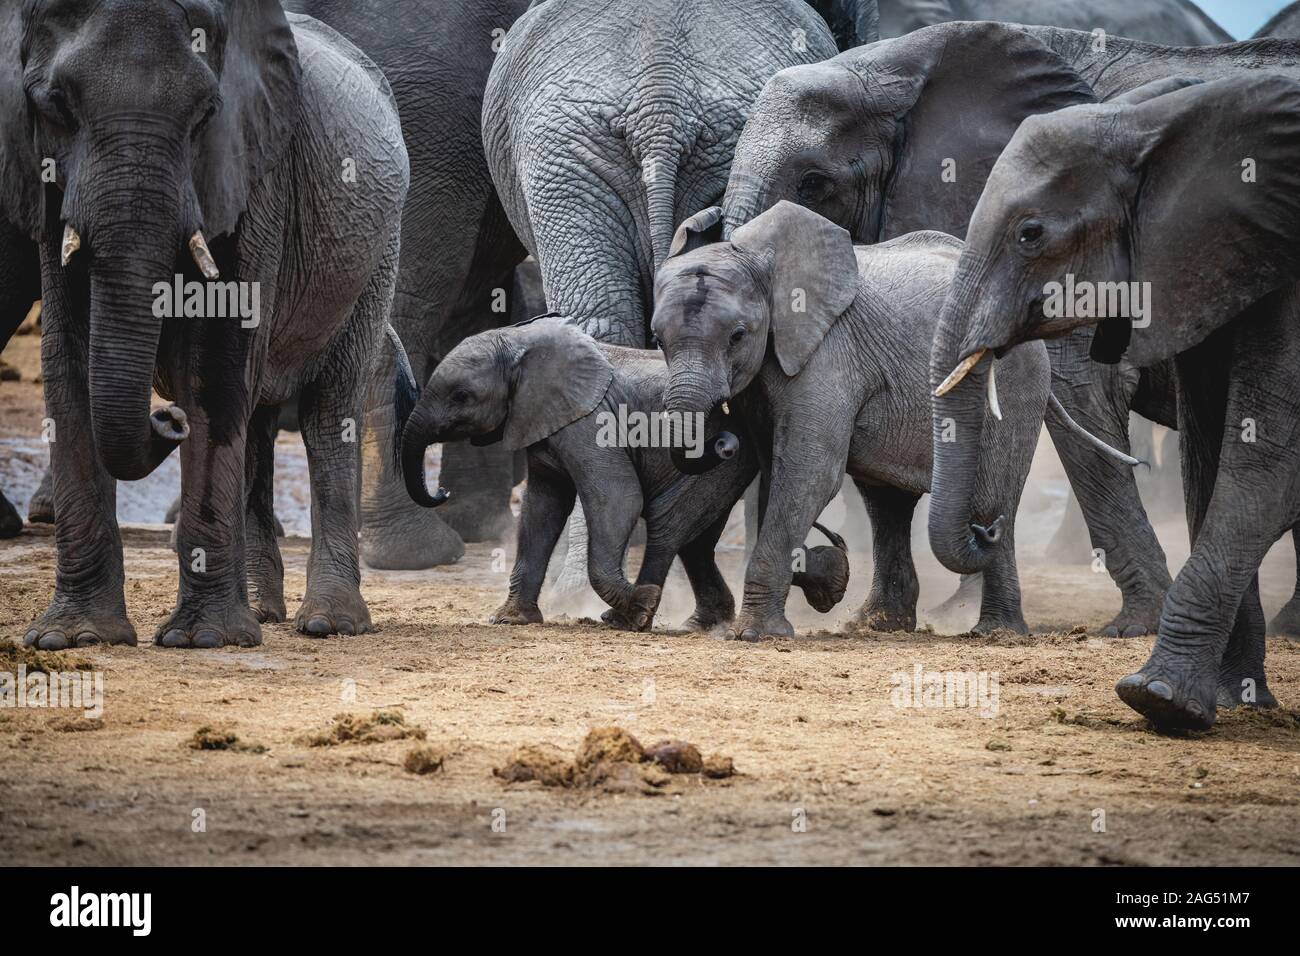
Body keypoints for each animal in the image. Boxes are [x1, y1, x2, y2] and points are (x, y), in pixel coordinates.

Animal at [7, 0, 410, 650]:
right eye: (56, 105)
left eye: (205, 114)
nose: (165, 419)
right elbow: (68, 354)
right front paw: (74, 637)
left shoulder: (257, 173)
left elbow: (217, 357)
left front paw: (204, 640)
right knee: (259, 420)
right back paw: (264, 613)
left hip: (376, 254)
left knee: (329, 409)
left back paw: (328, 623)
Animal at [398, 318, 849, 630]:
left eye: (461, 397)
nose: (441, 491)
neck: (521, 341)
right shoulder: (542, 423)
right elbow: (541, 510)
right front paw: (511, 620)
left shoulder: (589, 422)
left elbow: (616, 498)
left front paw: (639, 604)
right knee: (697, 540)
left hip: (725, 459)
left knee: (670, 523)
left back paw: (634, 616)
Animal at [651, 202, 1053, 640]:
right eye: (657, 340)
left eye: (738, 336)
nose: (721, 440)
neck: (762, 264)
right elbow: (778, 474)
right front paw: (827, 575)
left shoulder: (828, 353)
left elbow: (809, 474)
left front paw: (757, 634)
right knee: (888, 504)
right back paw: (880, 624)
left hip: (1020, 379)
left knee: (993, 498)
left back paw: (996, 630)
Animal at [720, 19, 1300, 637]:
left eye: (813, 182)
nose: (821, 574)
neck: (900, 64)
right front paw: (887, 621)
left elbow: (1082, 392)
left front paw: (1133, 626)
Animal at [929, 73, 1300, 730]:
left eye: (1030, 235)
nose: (986, 524)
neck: (1152, 122)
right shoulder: (1208, 268)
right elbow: (1207, 462)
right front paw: (1234, 700)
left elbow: (1268, 466)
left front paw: (1160, 700)